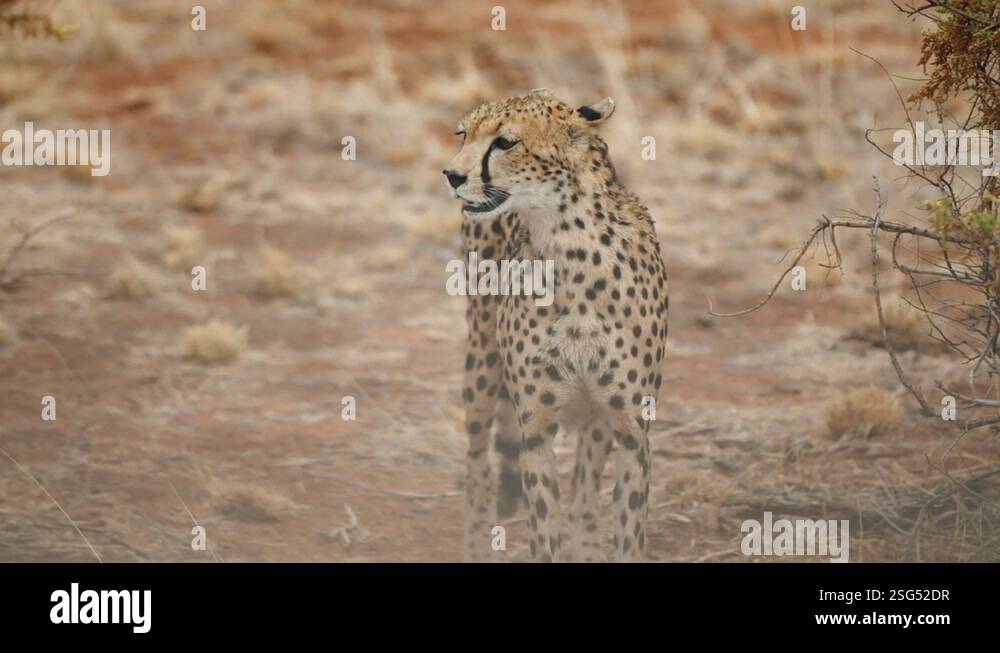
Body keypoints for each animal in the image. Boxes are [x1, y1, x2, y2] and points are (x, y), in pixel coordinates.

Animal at [444, 89, 668, 562]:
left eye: (505, 142)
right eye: (463, 134)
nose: (451, 175)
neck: (569, 248)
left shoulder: (630, 430)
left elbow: (624, 529)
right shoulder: (537, 430)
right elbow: (544, 528)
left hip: (596, 417)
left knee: (584, 495)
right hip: (481, 358)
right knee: (477, 461)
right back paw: (475, 541)